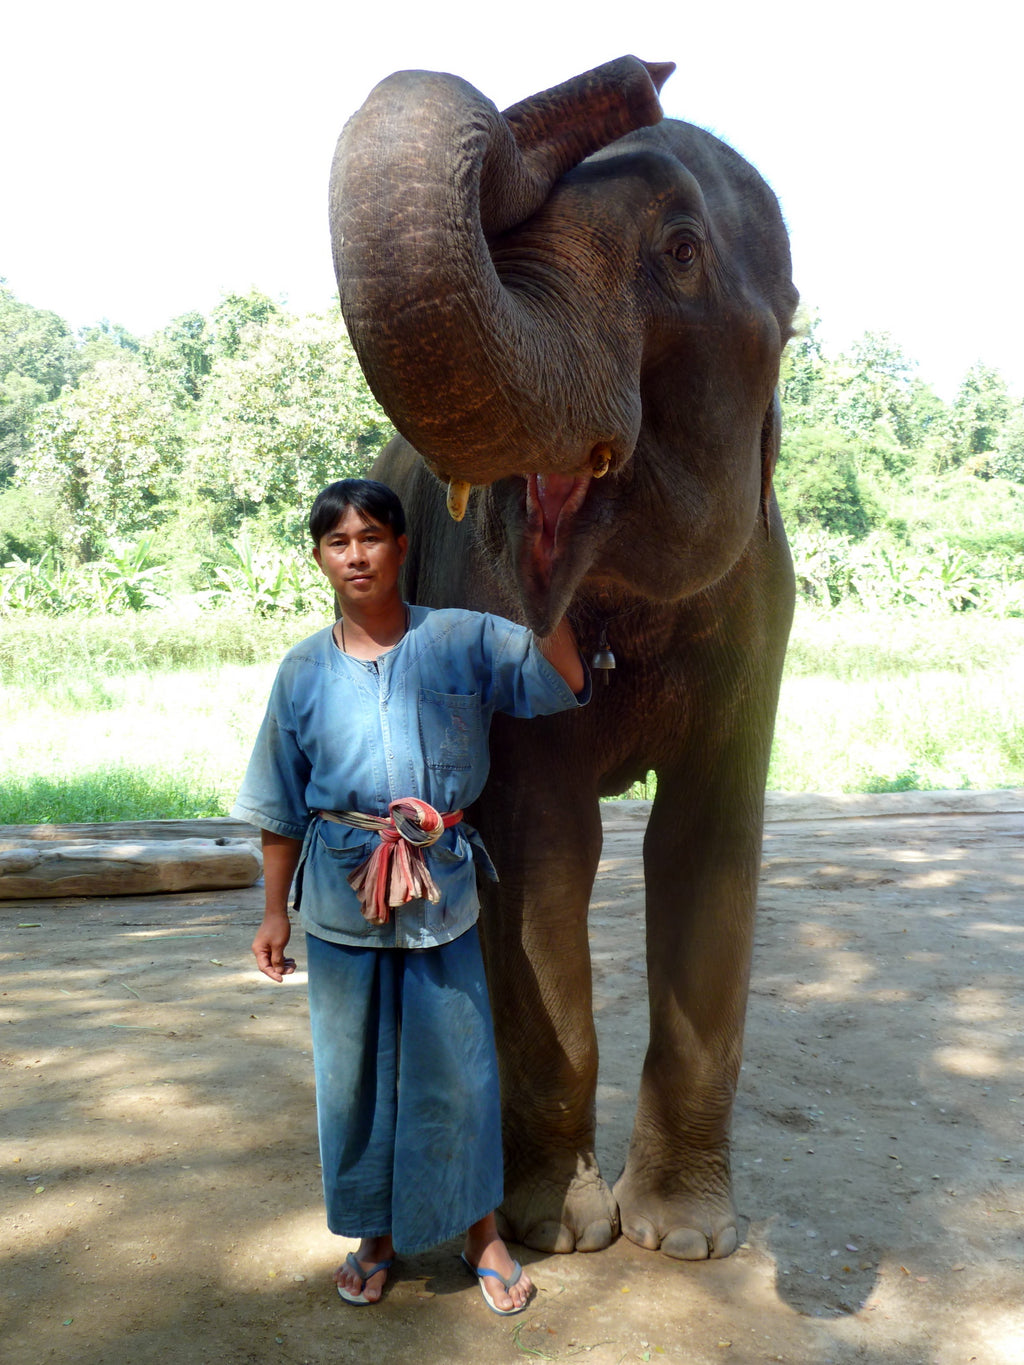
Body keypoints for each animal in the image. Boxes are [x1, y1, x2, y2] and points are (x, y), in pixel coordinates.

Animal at [328, 55, 798, 1261]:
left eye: (679, 250)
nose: (640, 70)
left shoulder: (760, 615)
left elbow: (704, 845)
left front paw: (686, 1240)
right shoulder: (483, 600)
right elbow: (546, 845)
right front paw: (559, 1232)